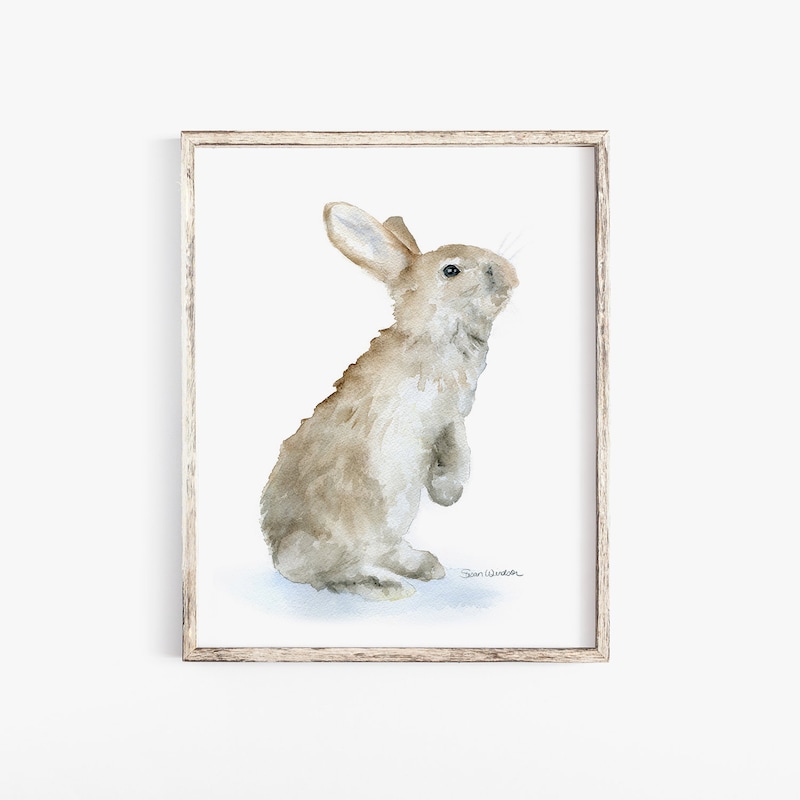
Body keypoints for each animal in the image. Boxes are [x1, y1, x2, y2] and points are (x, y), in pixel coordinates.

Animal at [260, 202, 518, 601]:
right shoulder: (440, 412)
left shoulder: (451, 417)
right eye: (451, 270)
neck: (433, 332)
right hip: (360, 521)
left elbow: (458, 448)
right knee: (325, 572)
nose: (508, 274)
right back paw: (385, 587)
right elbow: (459, 453)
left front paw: (447, 493)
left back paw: (424, 566)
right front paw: (449, 492)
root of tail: (278, 550)